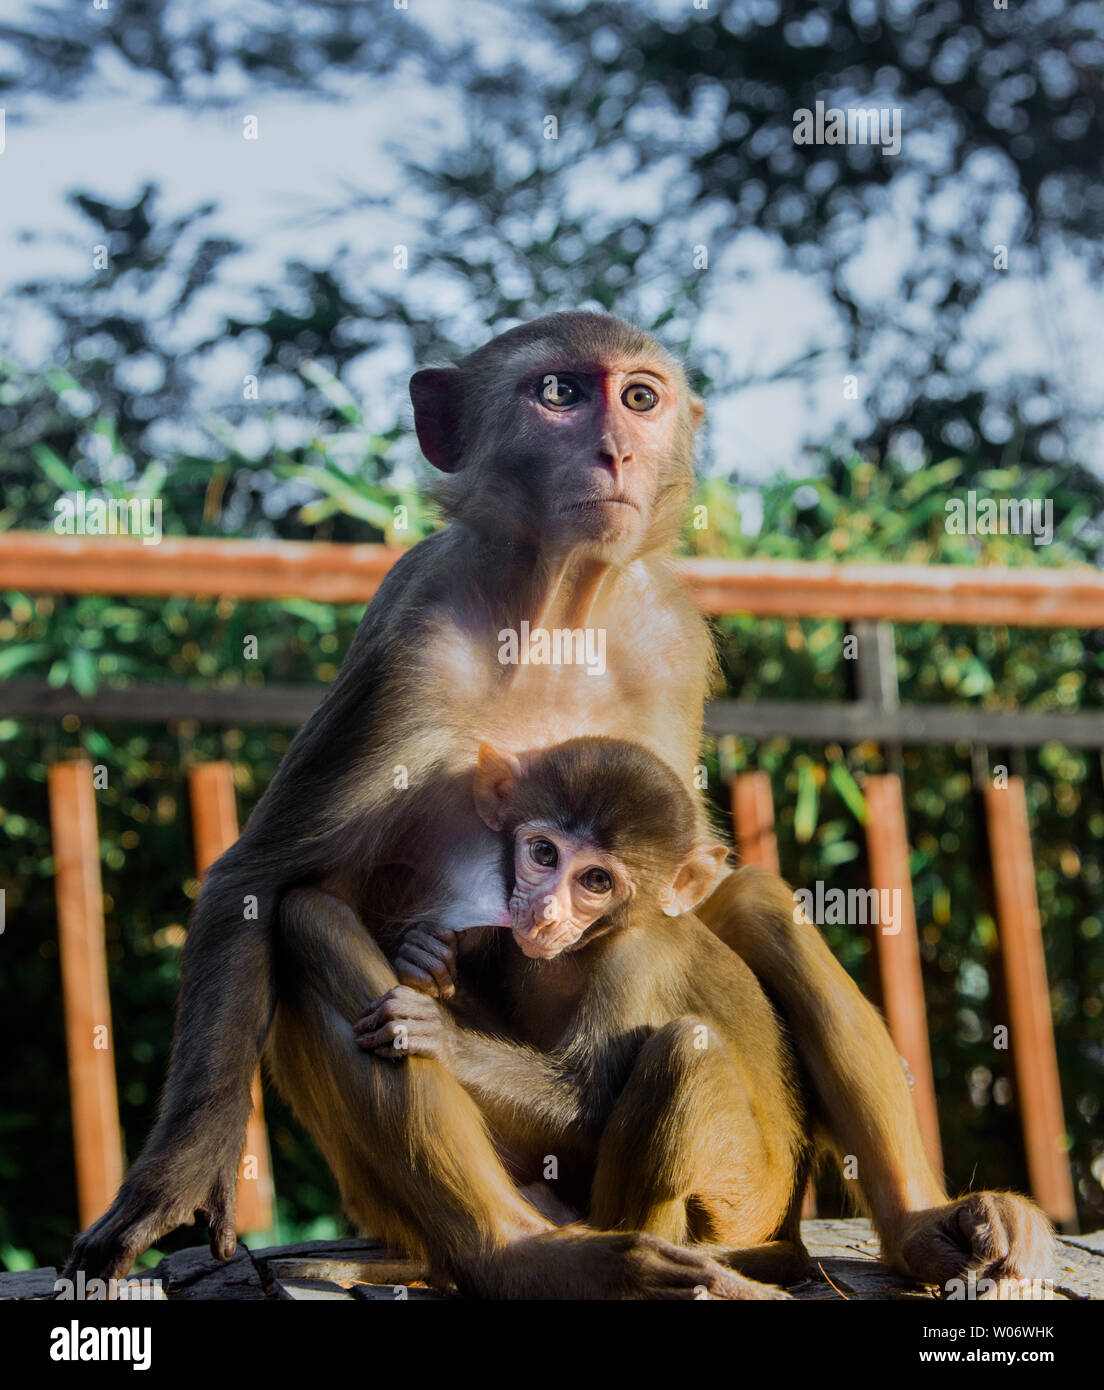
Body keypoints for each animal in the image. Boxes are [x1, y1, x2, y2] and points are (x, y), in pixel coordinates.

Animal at [353, 738, 812, 1297]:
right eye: (544, 853)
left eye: (596, 880)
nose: (545, 911)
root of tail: (789, 1219)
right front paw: (432, 961)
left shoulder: (634, 963)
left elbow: (588, 1102)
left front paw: (443, 1035)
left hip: (746, 1199)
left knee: (684, 1051)